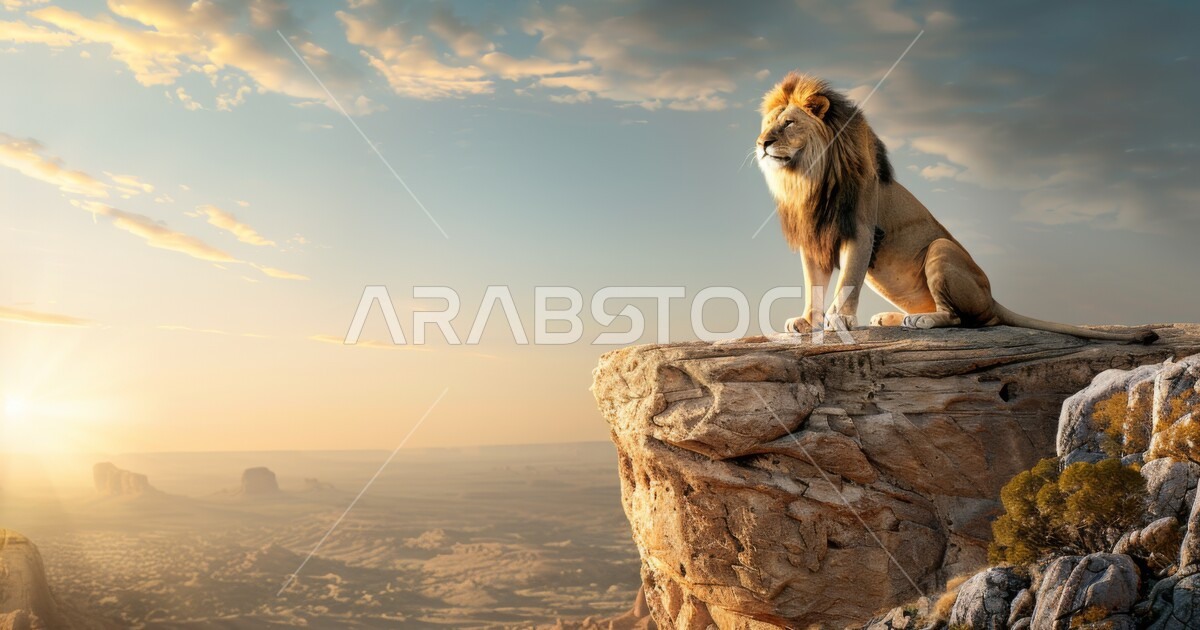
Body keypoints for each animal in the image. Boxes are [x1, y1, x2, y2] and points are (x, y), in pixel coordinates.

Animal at [755, 73, 1158, 344]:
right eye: (767, 124)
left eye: (788, 123)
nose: (761, 143)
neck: (806, 177)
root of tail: (992, 298)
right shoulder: (814, 237)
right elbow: (814, 284)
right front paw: (807, 321)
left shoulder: (862, 228)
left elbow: (847, 281)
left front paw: (840, 320)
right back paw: (890, 318)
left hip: (941, 248)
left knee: (962, 319)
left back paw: (922, 321)